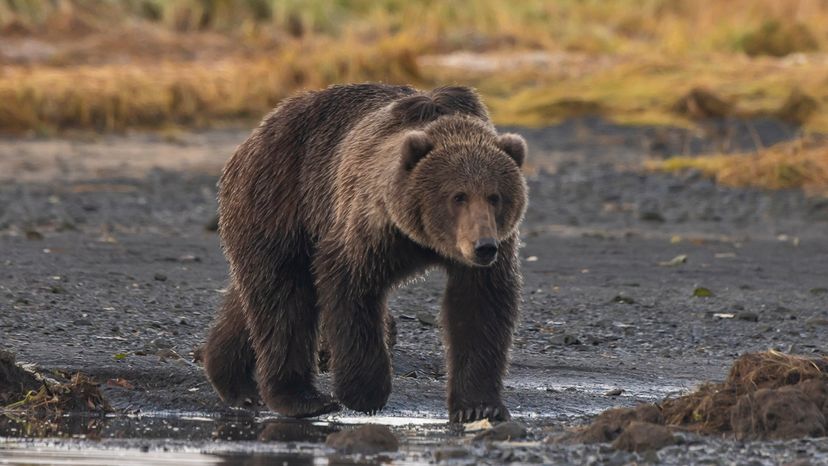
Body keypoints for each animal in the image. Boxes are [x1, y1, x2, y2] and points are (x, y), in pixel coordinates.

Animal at [203, 83, 528, 422]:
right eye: (458, 196)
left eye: (495, 196)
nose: (483, 246)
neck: (421, 240)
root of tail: (255, 134)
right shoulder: (368, 223)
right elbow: (351, 288)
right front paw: (364, 391)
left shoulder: (492, 251)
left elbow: (479, 307)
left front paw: (479, 406)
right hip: (282, 197)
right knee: (284, 298)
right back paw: (303, 398)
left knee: (256, 297)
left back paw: (234, 380)